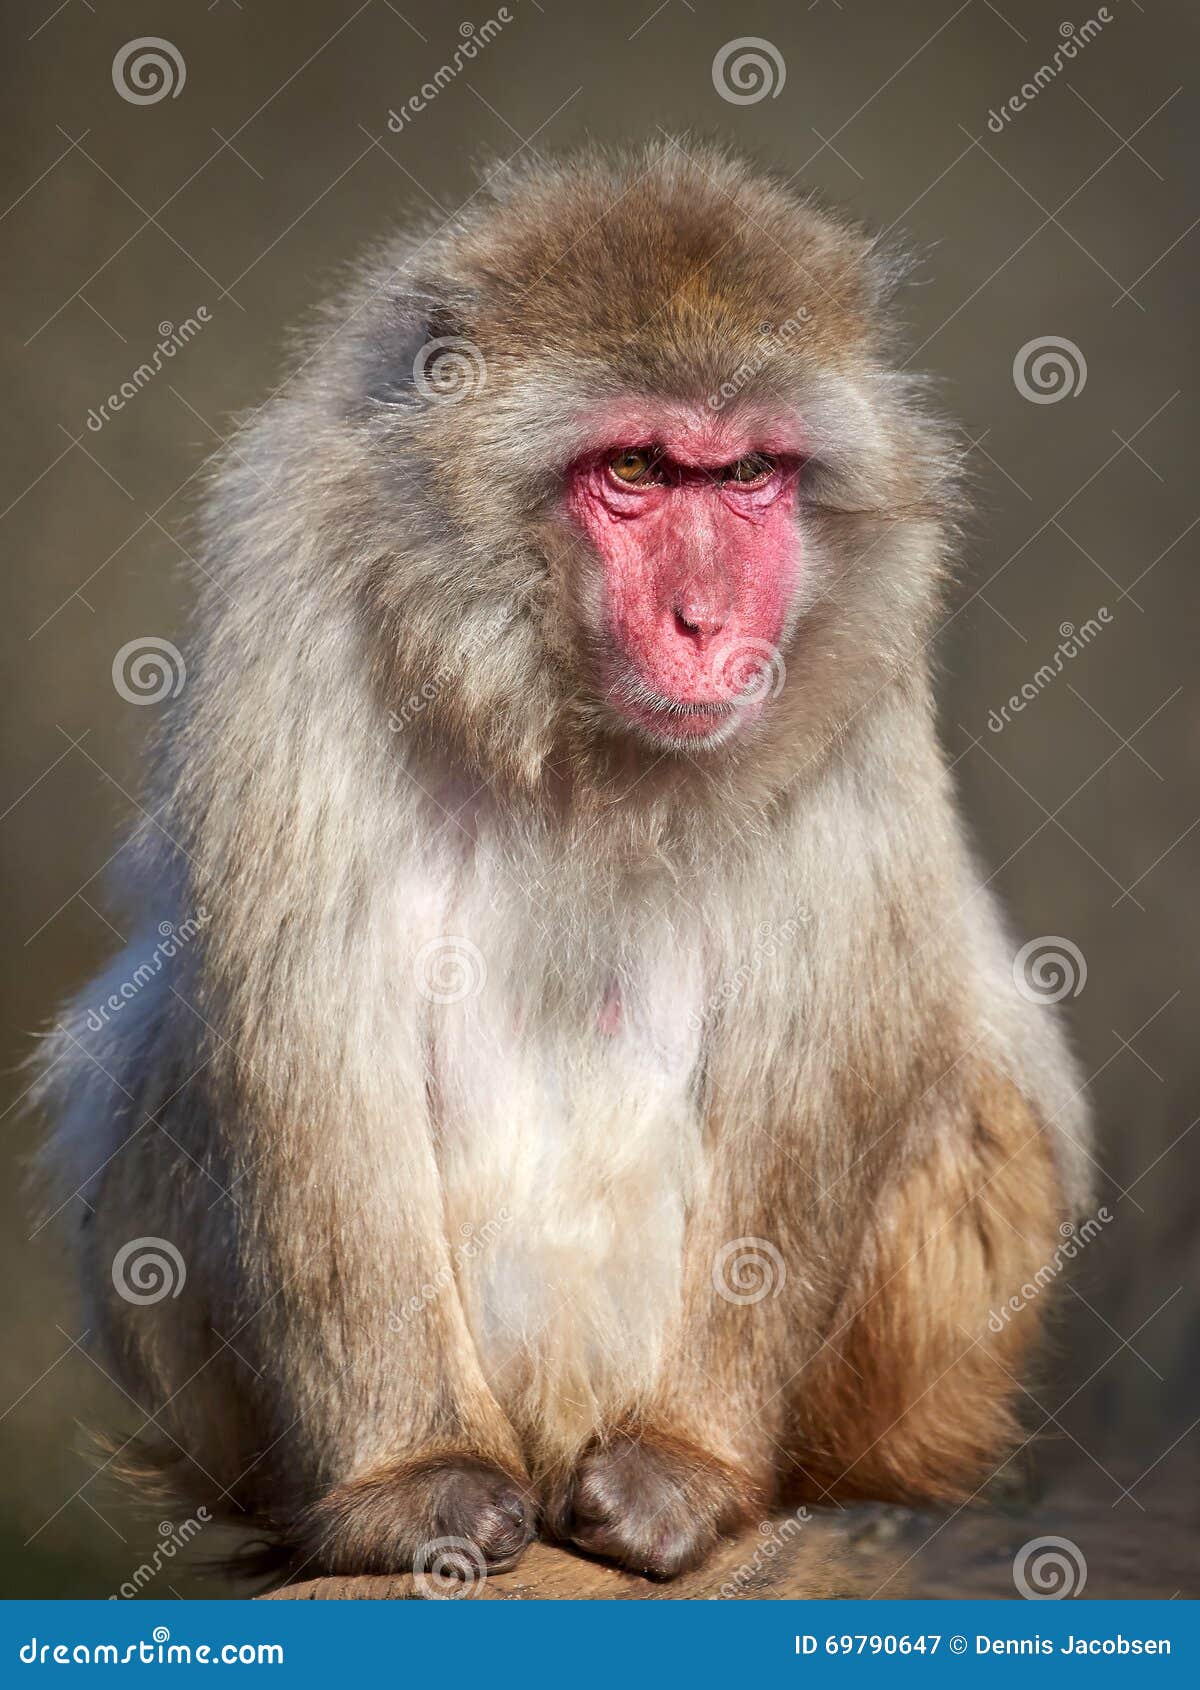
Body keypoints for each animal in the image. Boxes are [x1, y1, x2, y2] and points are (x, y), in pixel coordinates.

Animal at [34, 138, 1092, 1586]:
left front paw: (688, 1466)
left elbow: (824, 1041)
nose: (708, 623)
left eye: (749, 475)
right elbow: (306, 1030)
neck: (568, 713)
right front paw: (408, 1477)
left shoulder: (859, 662)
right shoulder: (293, 592)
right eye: (636, 468)